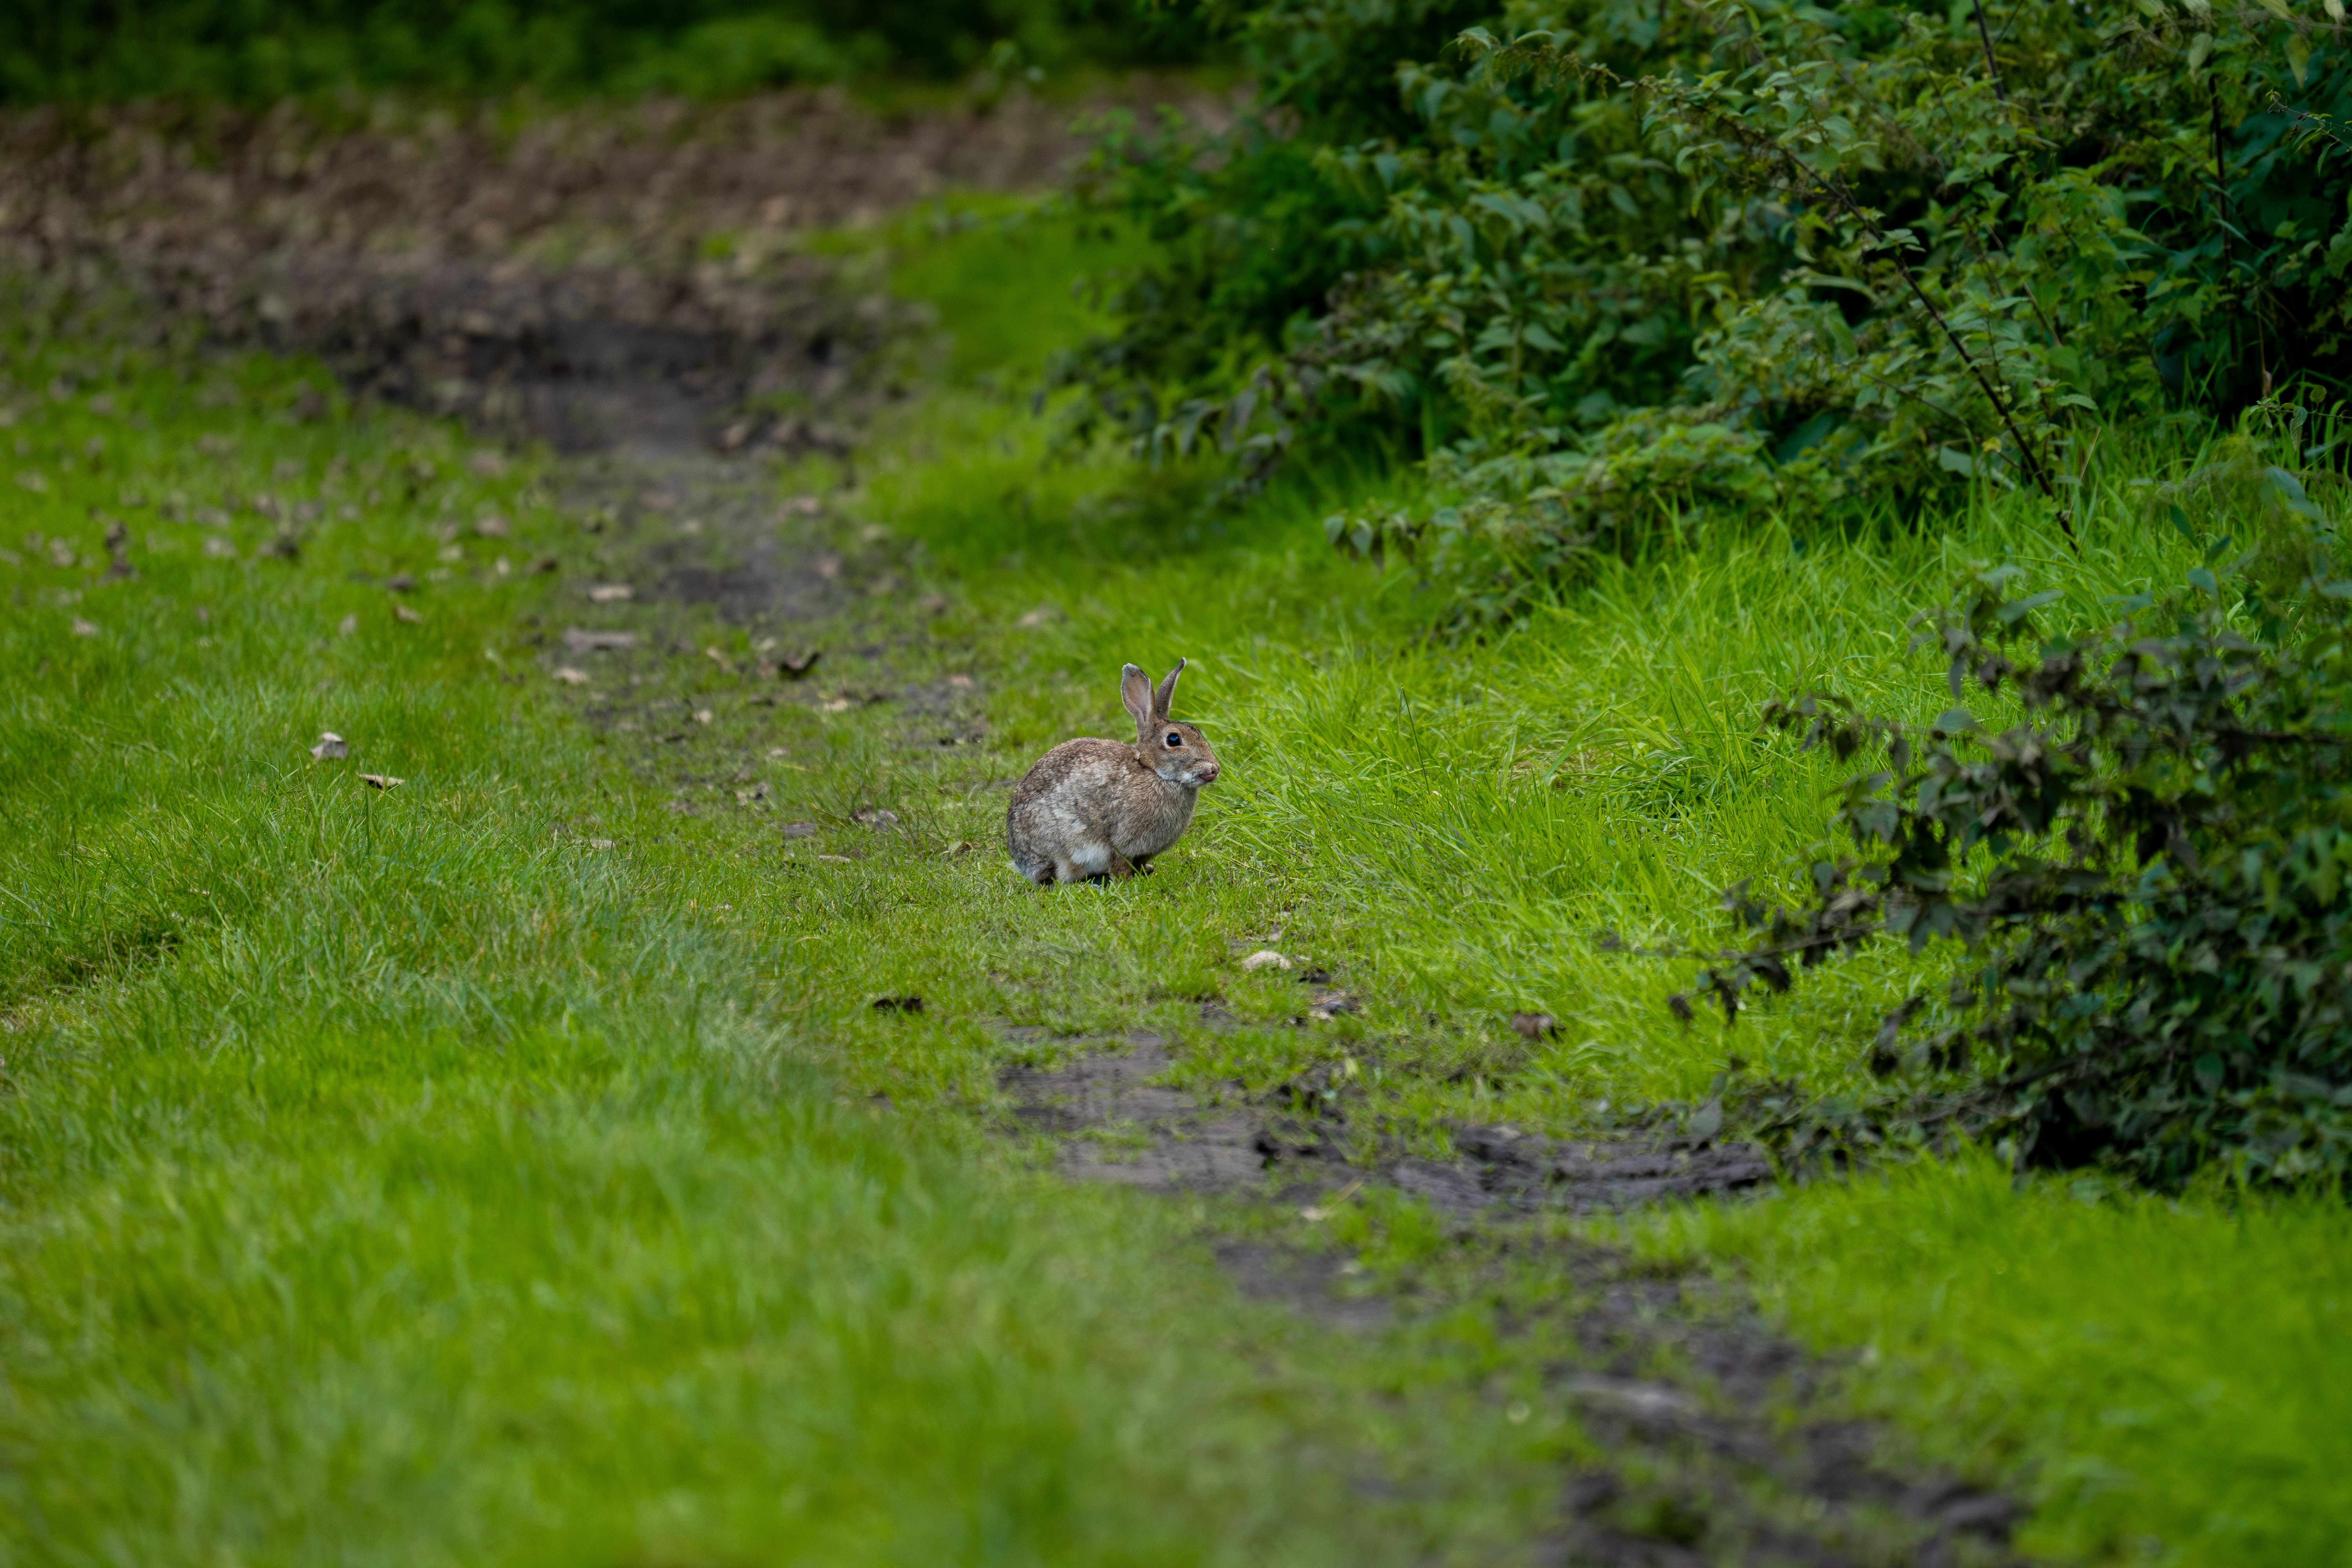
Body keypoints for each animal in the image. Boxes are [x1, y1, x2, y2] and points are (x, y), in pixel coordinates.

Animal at [1007, 658, 1221, 885]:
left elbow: (1140, 863)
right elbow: (1119, 864)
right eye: (1173, 740)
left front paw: (1146, 871)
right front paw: (1127, 882)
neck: (1155, 772)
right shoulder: (1121, 843)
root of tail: (1022, 862)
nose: (1214, 769)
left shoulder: (1144, 852)